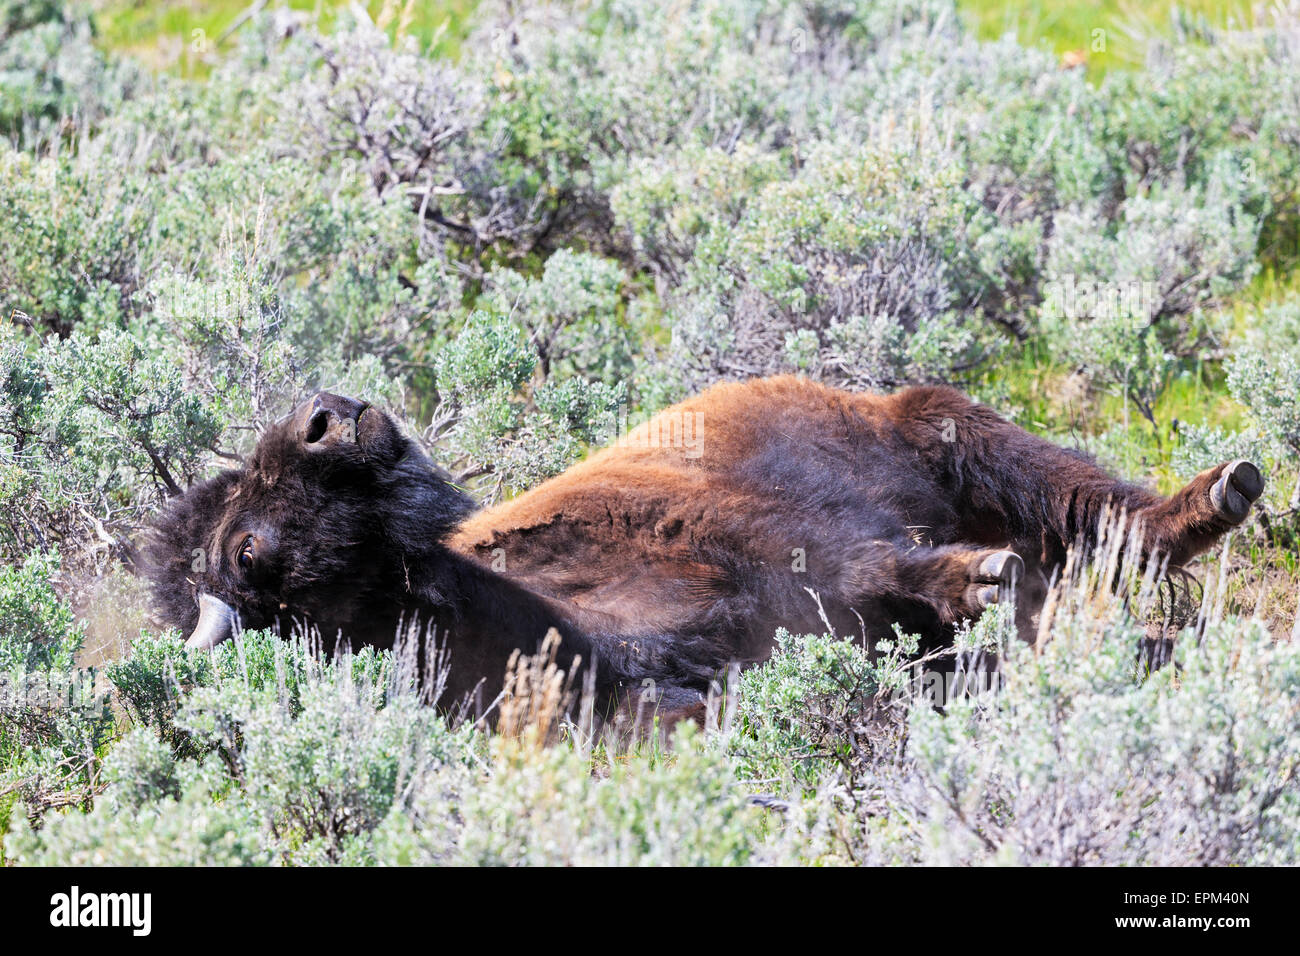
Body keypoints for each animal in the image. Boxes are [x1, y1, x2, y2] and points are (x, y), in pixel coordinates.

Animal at [144, 376, 1263, 719]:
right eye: (248, 549)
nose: (327, 417)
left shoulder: (792, 543)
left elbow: (883, 564)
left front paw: (983, 579)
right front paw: (991, 591)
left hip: (945, 428)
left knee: (1103, 510)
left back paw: (1227, 487)